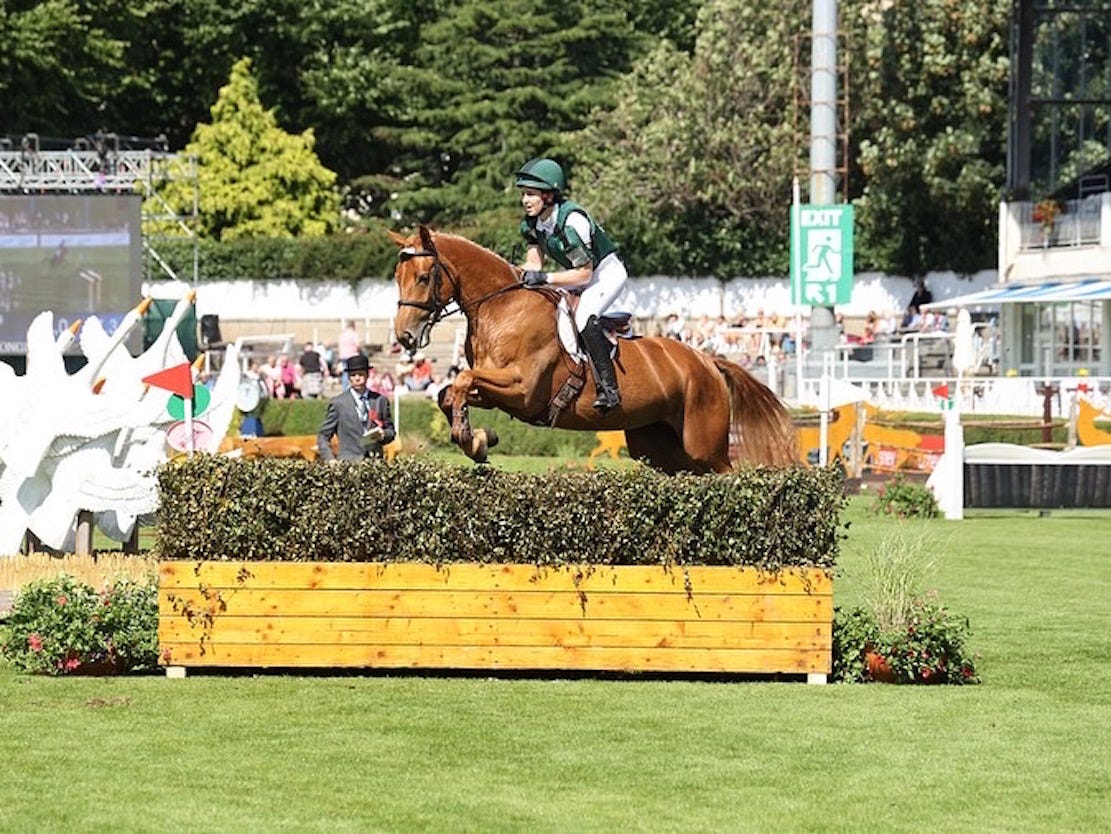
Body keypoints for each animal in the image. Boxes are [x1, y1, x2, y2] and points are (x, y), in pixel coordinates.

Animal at [390, 226, 798, 474]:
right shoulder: (496, 391)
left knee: (727, 473)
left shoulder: (522, 390)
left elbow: (462, 379)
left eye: (423, 277)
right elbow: (449, 391)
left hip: (704, 446)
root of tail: (708, 362)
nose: (404, 337)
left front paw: (470, 438)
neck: (501, 307)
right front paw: (477, 438)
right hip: (660, 448)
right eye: (397, 277)